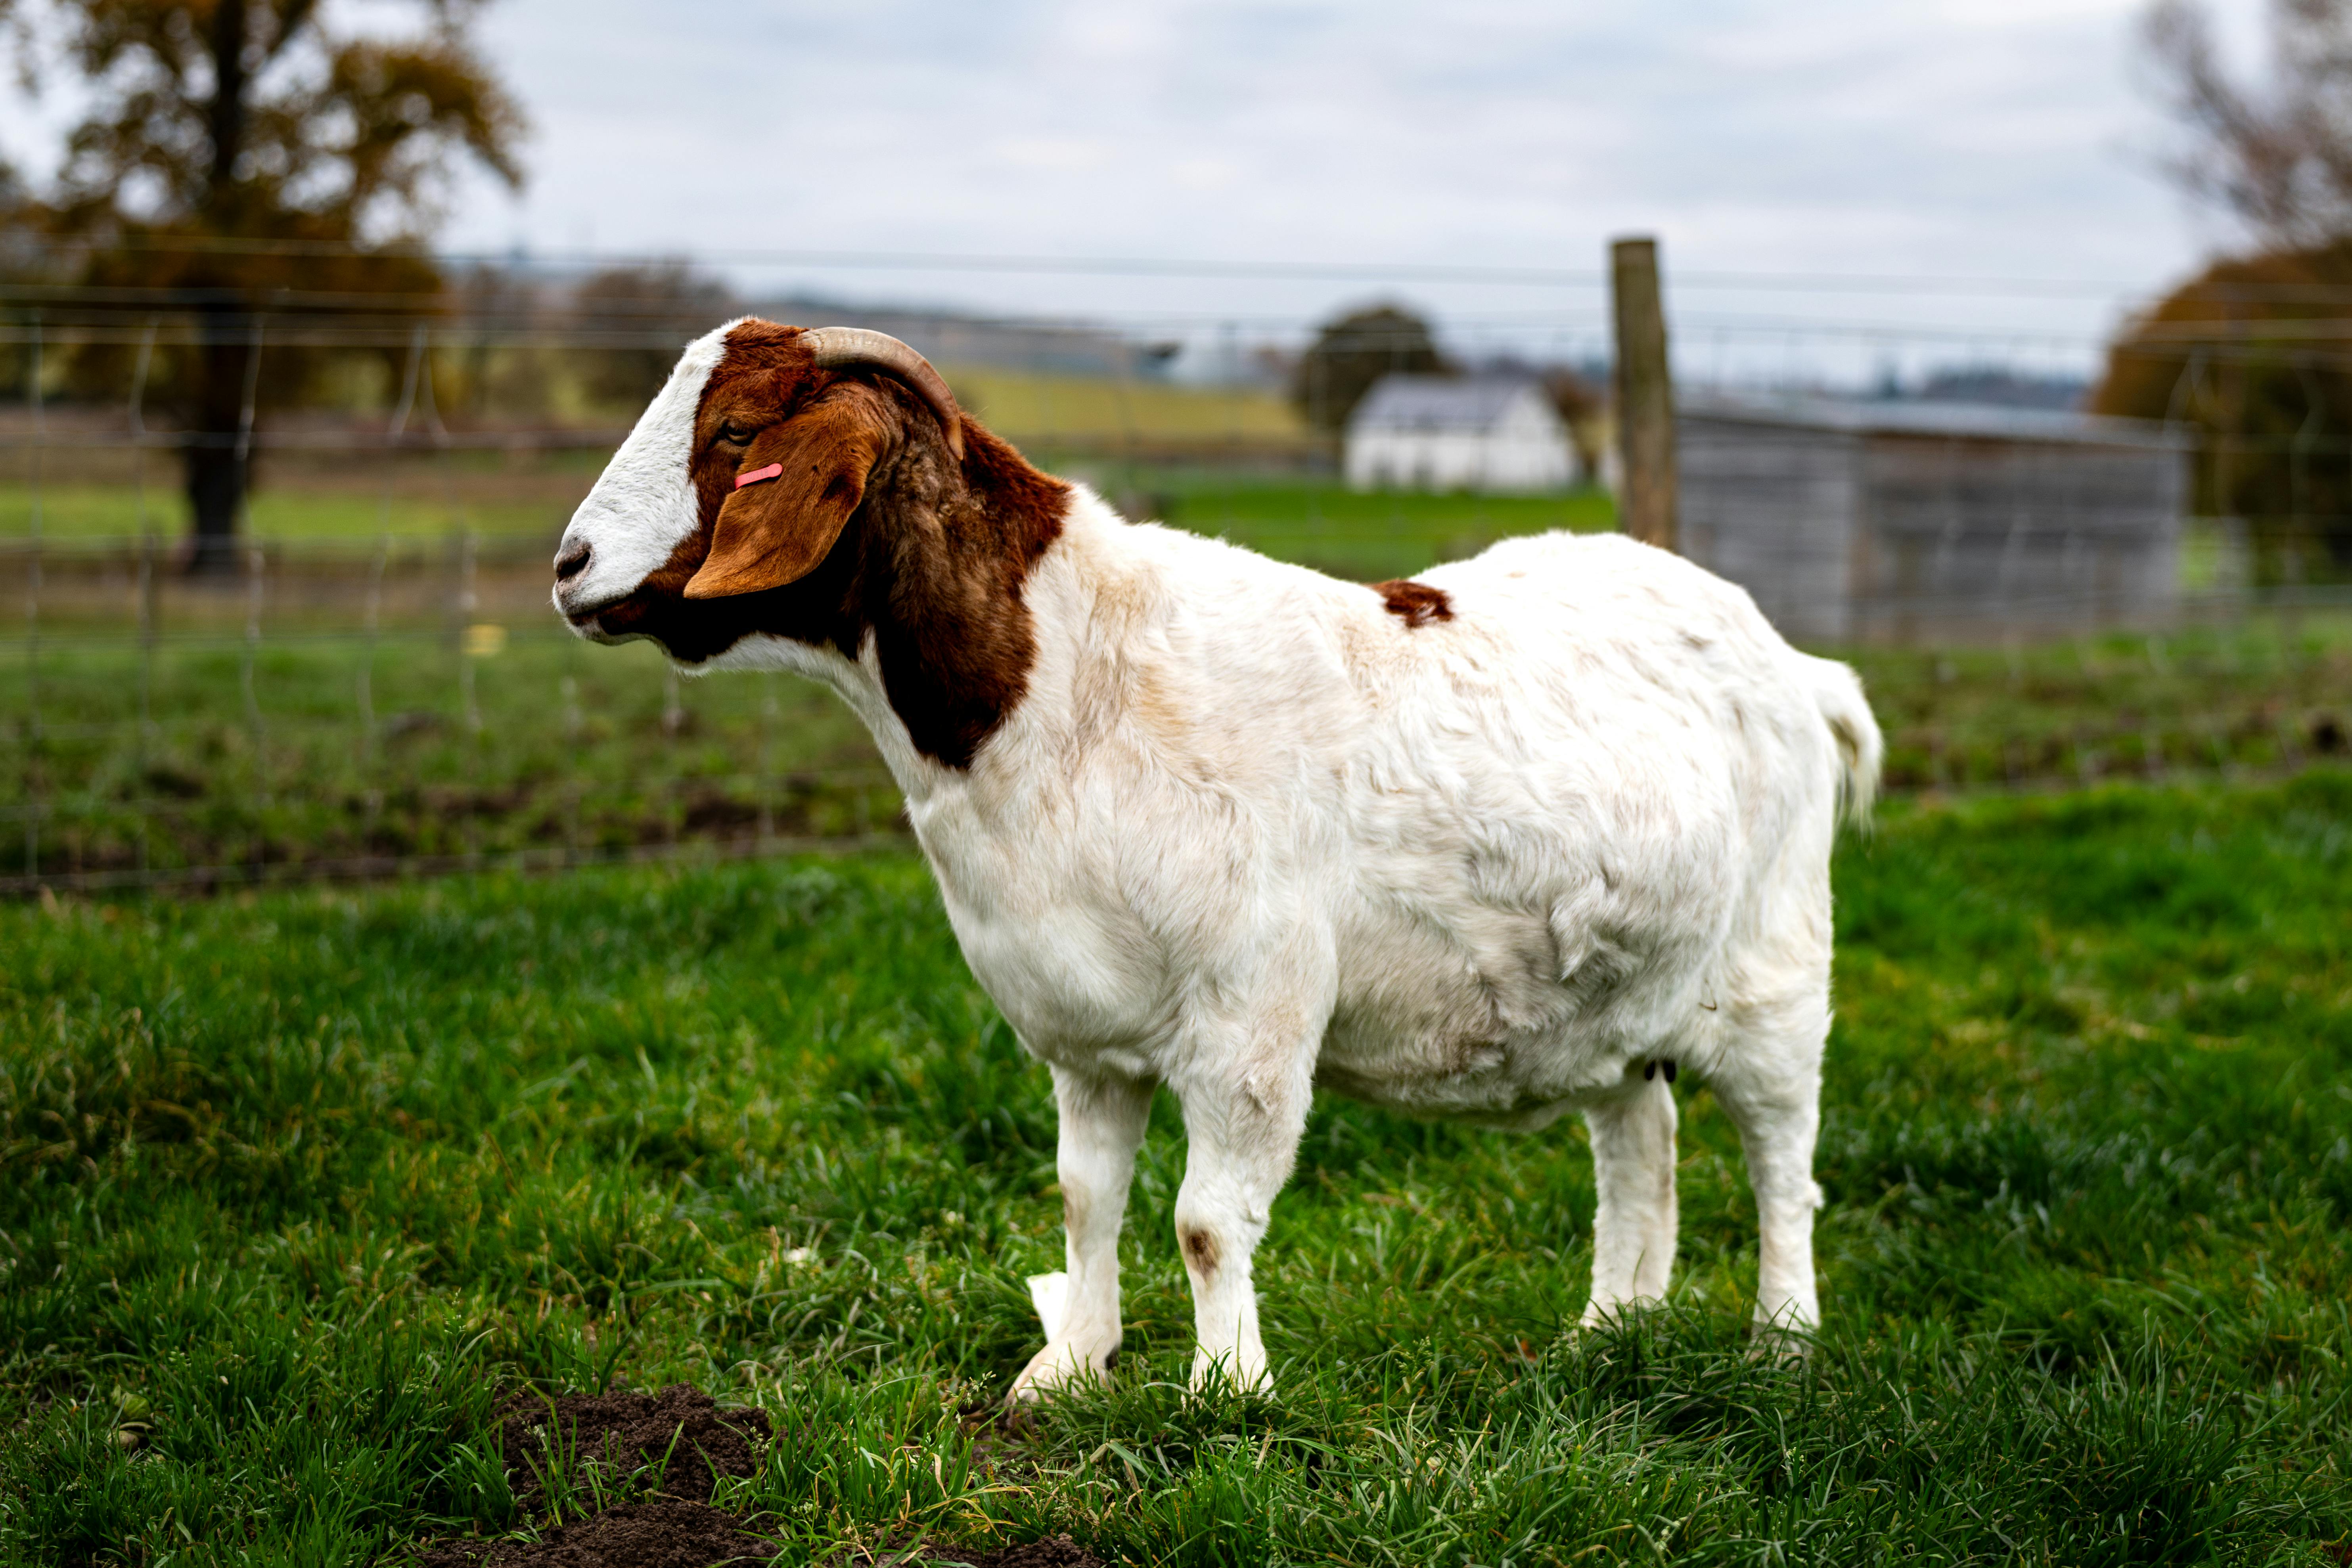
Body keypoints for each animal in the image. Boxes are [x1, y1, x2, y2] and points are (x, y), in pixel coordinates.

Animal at [552, 319, 1884, 1400]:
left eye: (736, 432)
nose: (568, 567)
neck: (1065, 679)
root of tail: (1796, 665)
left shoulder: (1253, 1009)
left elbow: (1203, 1220)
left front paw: (1225, 1389)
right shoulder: (1084, 1030)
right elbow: (1085, 1196)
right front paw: (1067, 1369)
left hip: (1775, 968)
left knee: (1782, 1160)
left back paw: (1781, 1342)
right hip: (1614, 994)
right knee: (1638, 1142)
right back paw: (1606, 1334)